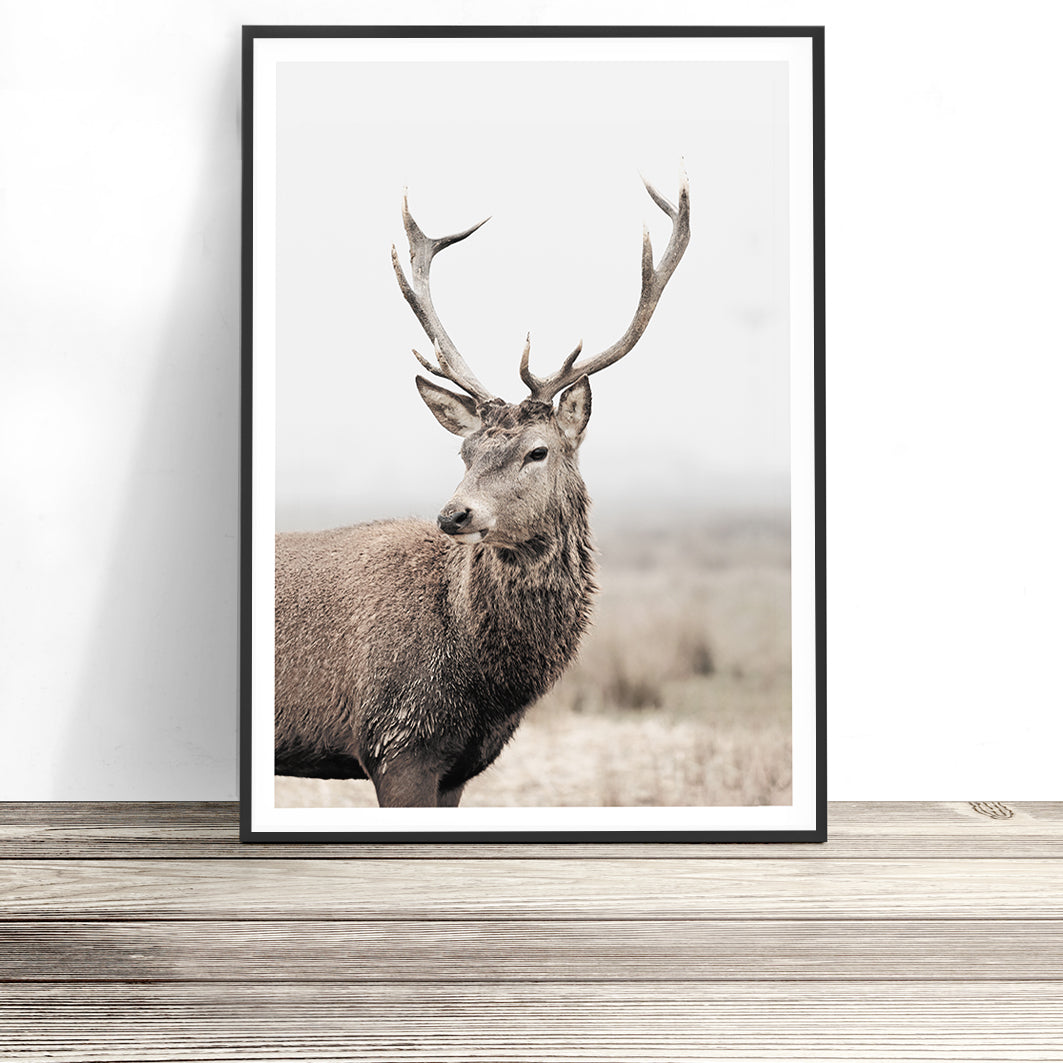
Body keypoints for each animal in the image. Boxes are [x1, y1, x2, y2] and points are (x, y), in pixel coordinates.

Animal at [274, 172, 690, 807]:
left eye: (538, 451)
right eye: (465, 452)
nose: (454, 515)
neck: (483, 688)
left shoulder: (458, 768)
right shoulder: (396, 743)